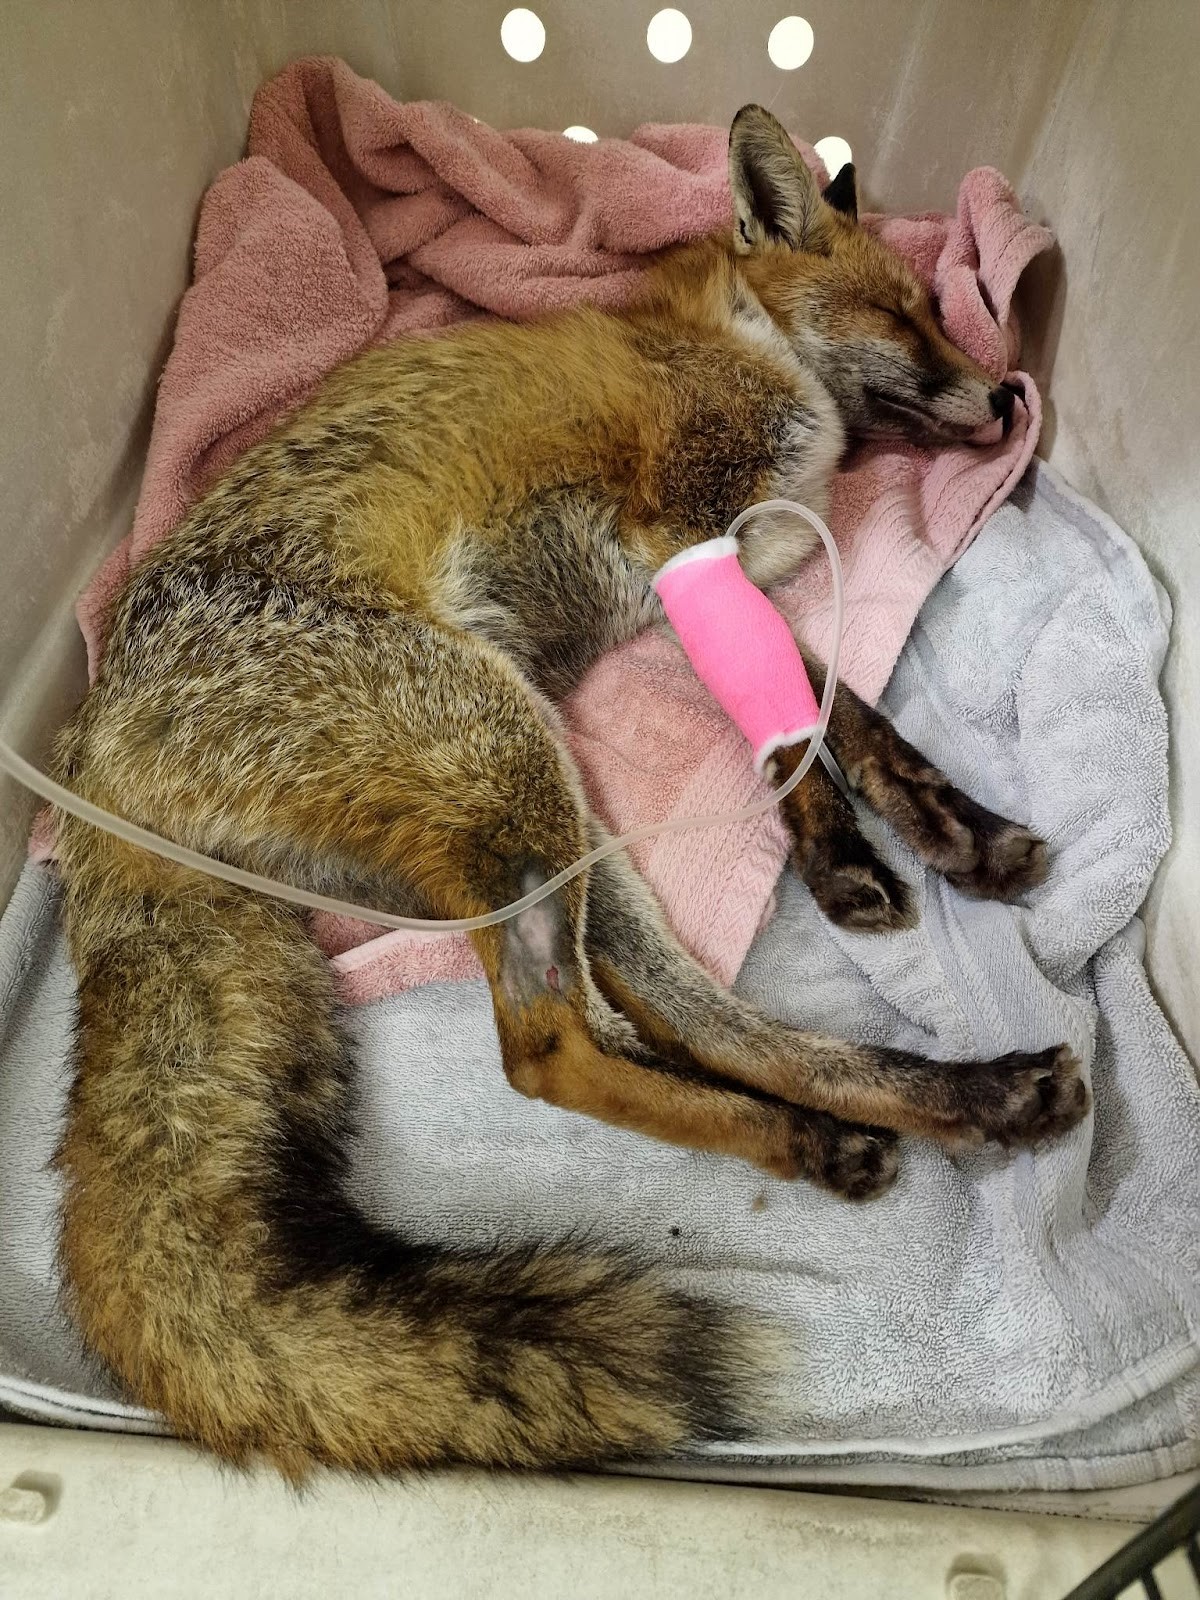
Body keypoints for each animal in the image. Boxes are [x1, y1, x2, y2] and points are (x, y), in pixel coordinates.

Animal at [50, 105, 1087, 1478]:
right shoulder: (683, 540)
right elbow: (798, 729)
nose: (1010, 392)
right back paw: (913, 1108)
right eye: (906, 309)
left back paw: (902, 1112)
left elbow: (840, 706)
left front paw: (948, 824)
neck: (737, 340)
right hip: (509, 753)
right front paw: (849, 851)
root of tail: (88, 768)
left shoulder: (711, 570)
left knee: (672, 1017)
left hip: (551, 805)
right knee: (546, 1048)